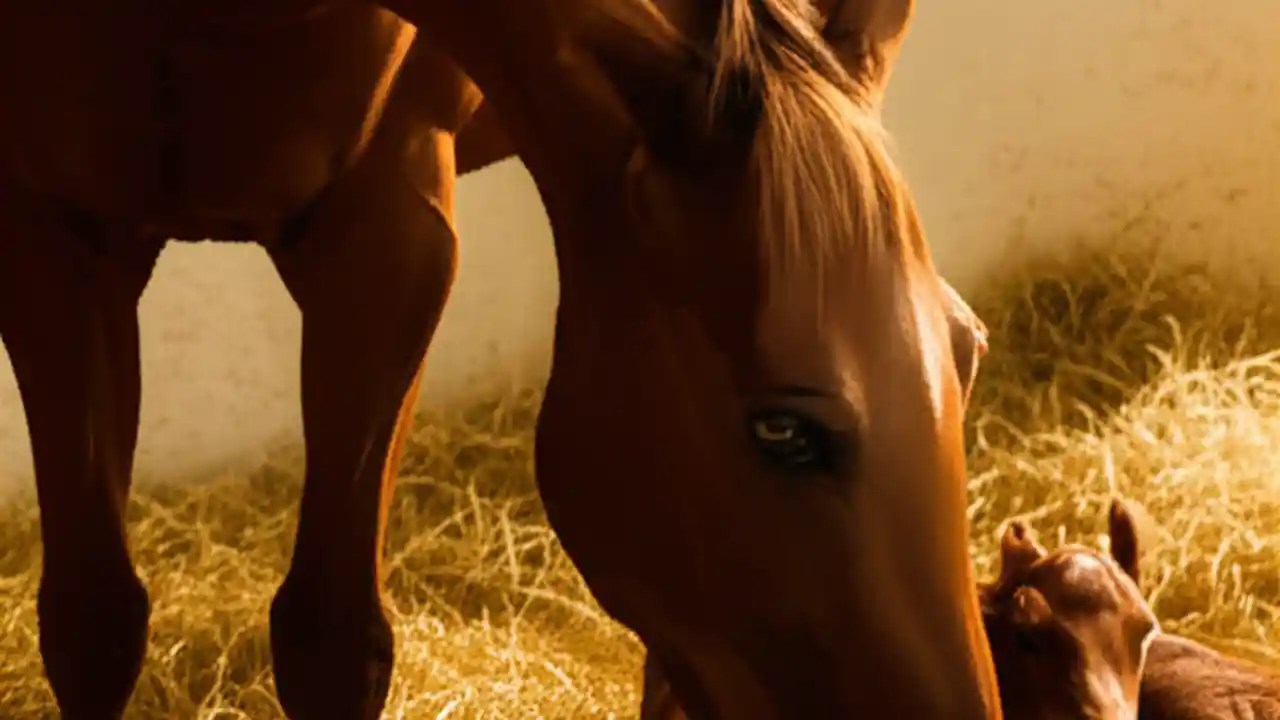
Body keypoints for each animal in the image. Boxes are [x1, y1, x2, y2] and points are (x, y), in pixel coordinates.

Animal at [1, 0, 999, 717]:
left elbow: (332, 644)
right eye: (782, 429)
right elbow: (93, 626)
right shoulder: (53, 245)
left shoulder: (390, 237)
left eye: (971, 355)